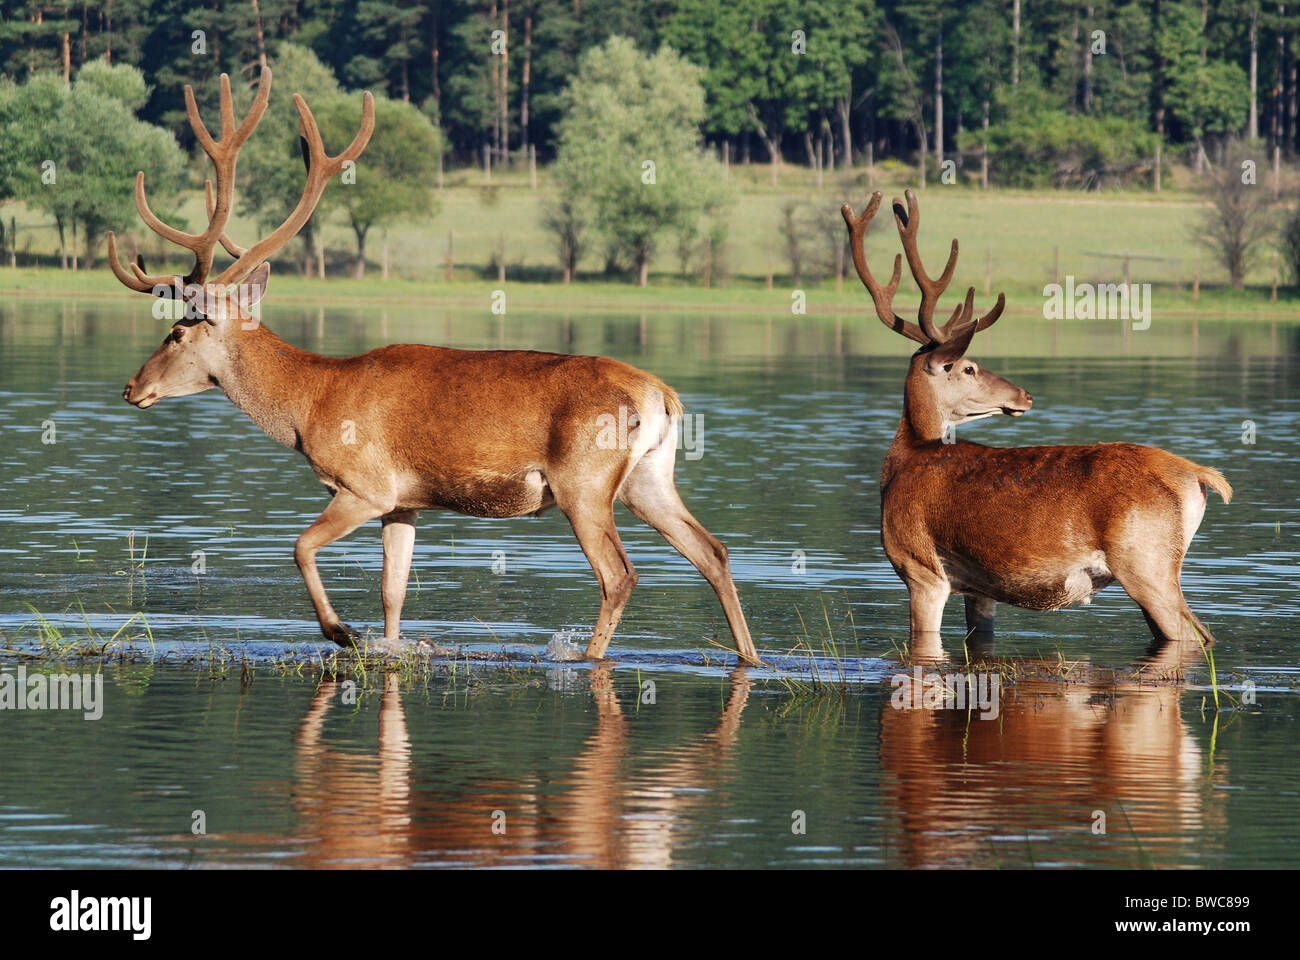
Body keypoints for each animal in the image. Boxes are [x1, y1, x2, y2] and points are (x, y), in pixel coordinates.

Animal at [107, 66, 758, 666]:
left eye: (175, 331)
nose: (132, 386)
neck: (308, 405)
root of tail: (663, 396)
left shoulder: (365, 484)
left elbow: (300, 547)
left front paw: (341, 631)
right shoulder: (405, 502)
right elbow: (393, 594)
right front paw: (385, 645)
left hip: (585, 481)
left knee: (620, 573)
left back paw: (585, 657)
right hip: (650, 477)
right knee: (714, 551)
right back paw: (749, 656)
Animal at [841, 189, 1232, 661]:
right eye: (969, 367)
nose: (1024, 395)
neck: (906, 458)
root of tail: (1197, 475)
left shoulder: (921, 568)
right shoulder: (978, 587)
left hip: (1146, 560)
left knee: (1191, 632)